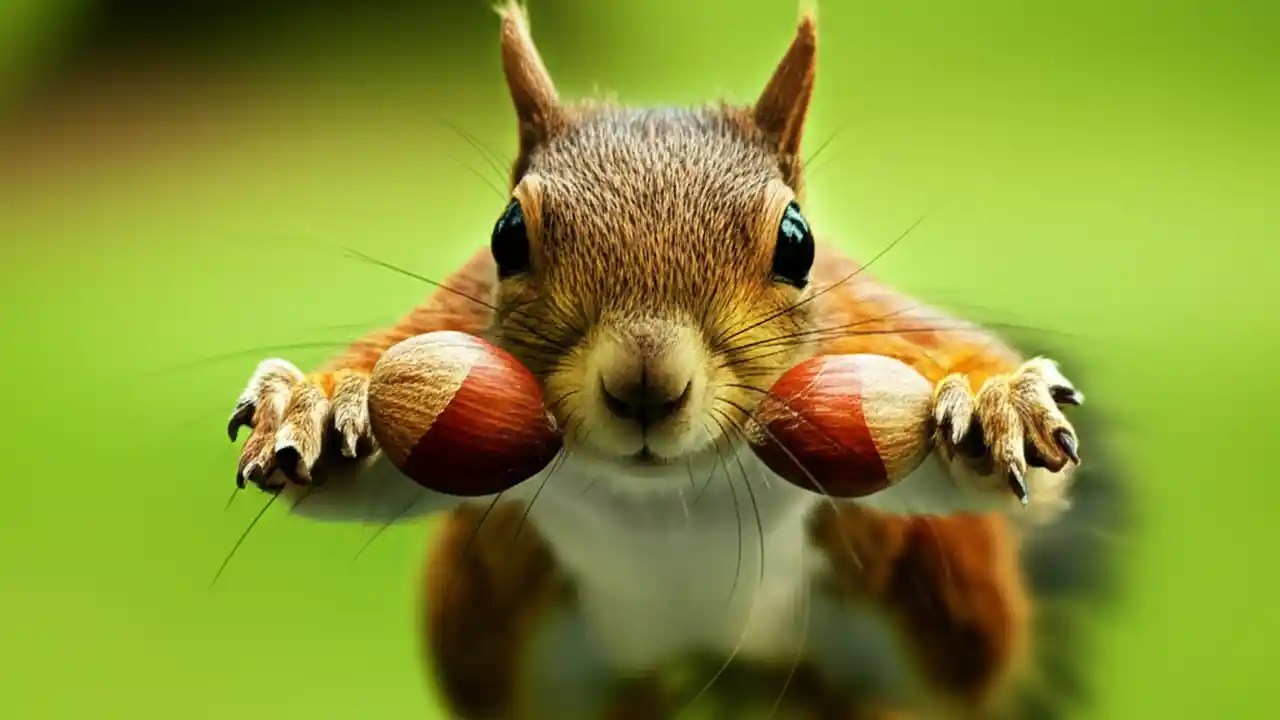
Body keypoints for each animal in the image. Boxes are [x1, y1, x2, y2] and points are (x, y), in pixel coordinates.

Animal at [226, 4, 1106, 718]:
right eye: (508, 235)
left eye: (798, 241)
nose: (644, 383)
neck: (666, 495)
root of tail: (714, 660)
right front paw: (318, 406)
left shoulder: (870, 329)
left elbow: (1026, 476)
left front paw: (996, 404)